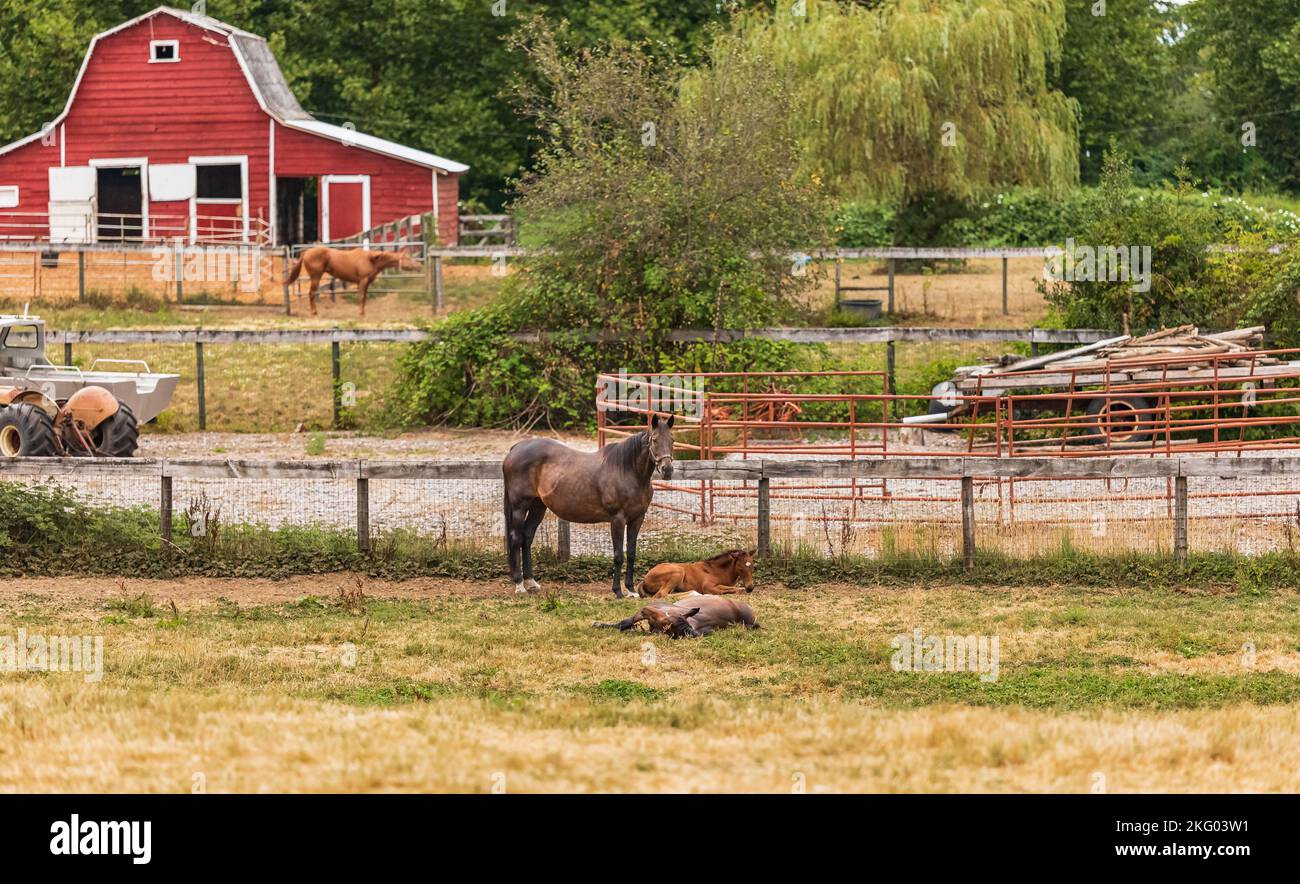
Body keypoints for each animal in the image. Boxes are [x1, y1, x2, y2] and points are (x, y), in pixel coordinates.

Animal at [283, 246, 420, 316]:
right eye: (408, 258)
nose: (419, 265)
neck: (371, 259)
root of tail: (306, 252)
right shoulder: (363, 281)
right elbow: (361, 296)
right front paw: (361, 312)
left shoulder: (366, 283)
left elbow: (364, 297)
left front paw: (363, 312)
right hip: (316, 277)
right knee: (311, 294)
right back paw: (314, 312)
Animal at [501, 415, 675, 596]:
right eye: (654, 440)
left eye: (672, 440)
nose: (667, 469)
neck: (628, 471)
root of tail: (516, 448)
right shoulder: (618, 520)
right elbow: (618, 555)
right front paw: (618, 591)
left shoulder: (637, 519)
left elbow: (632, 553)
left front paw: (631, 590)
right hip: (520, 507)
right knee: (516, 538)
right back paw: (520, 585)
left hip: (538, 506)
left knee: (527, 537)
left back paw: (531, 582)